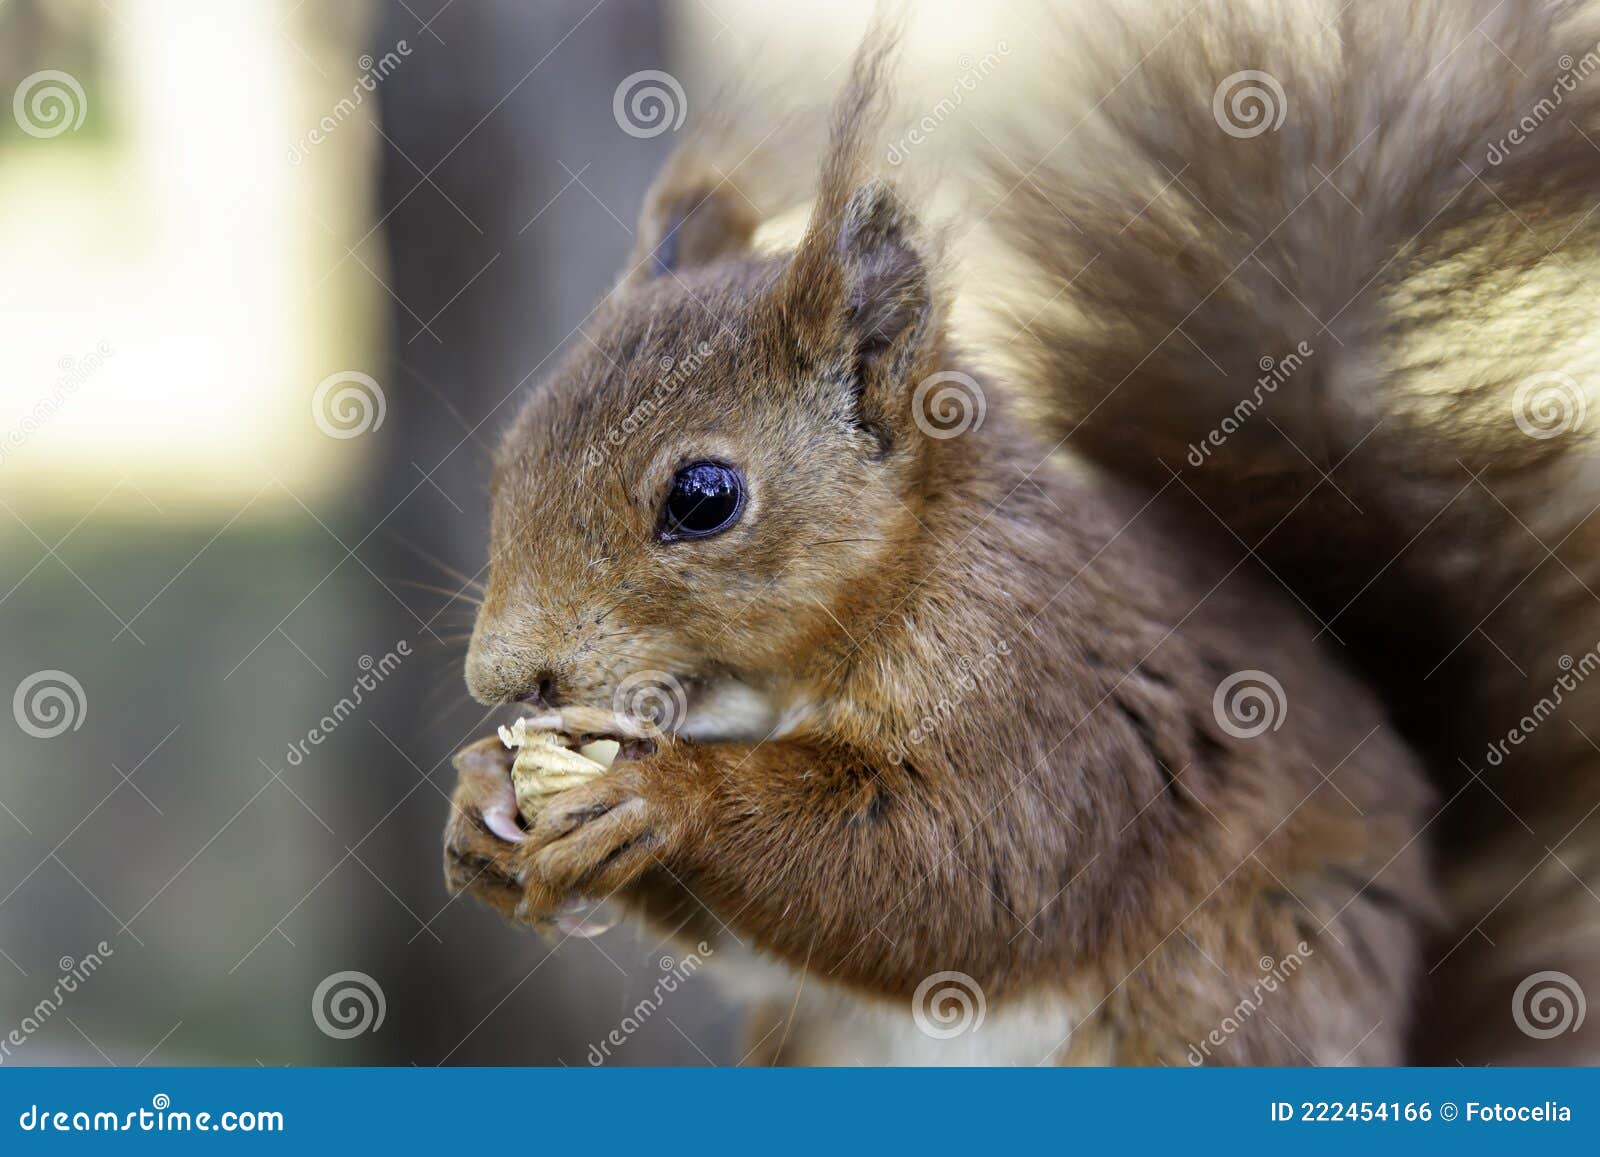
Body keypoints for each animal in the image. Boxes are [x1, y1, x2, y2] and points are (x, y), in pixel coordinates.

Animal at [443, 0, 1600, 1065]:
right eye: (506, 456)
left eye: (703, 496)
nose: (504, 675)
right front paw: (479, 803)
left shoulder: (1047, 692)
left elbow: (963, 870)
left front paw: (662, 790)